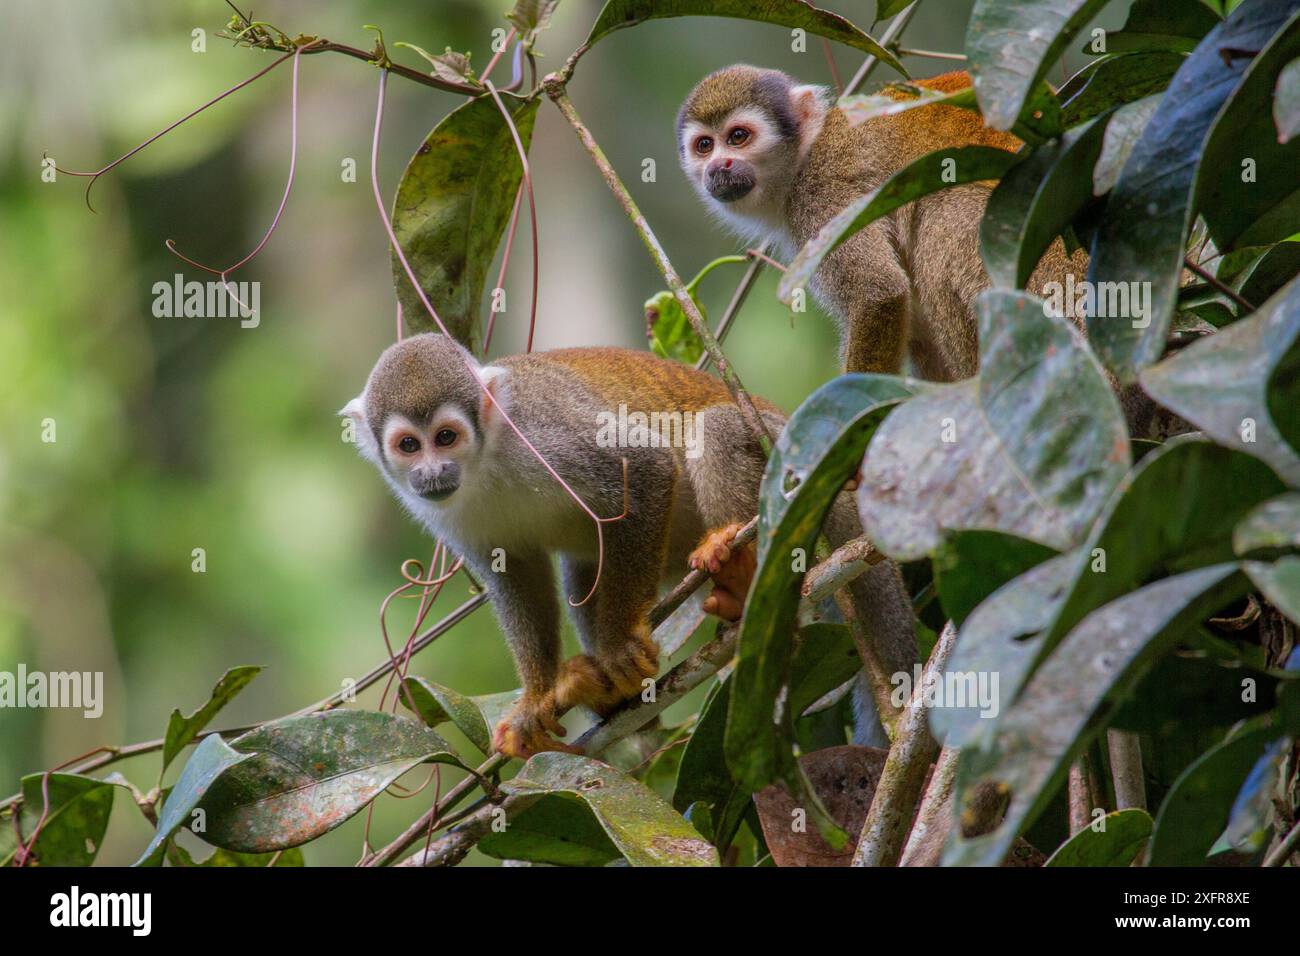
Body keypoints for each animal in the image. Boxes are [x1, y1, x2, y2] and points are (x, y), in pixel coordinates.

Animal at [342, 333, 916, 759]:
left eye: (446, 437)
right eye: (409, 446)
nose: (432, 473)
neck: (486, 460)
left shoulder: (544, 435)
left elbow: (643, 467)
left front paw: (618, 649)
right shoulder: (448, 515)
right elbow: (514, 574)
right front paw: (536, 699)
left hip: (786, 454)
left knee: (718, 428)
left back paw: (741, 576)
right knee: (584, 563)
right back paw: (608, 696)